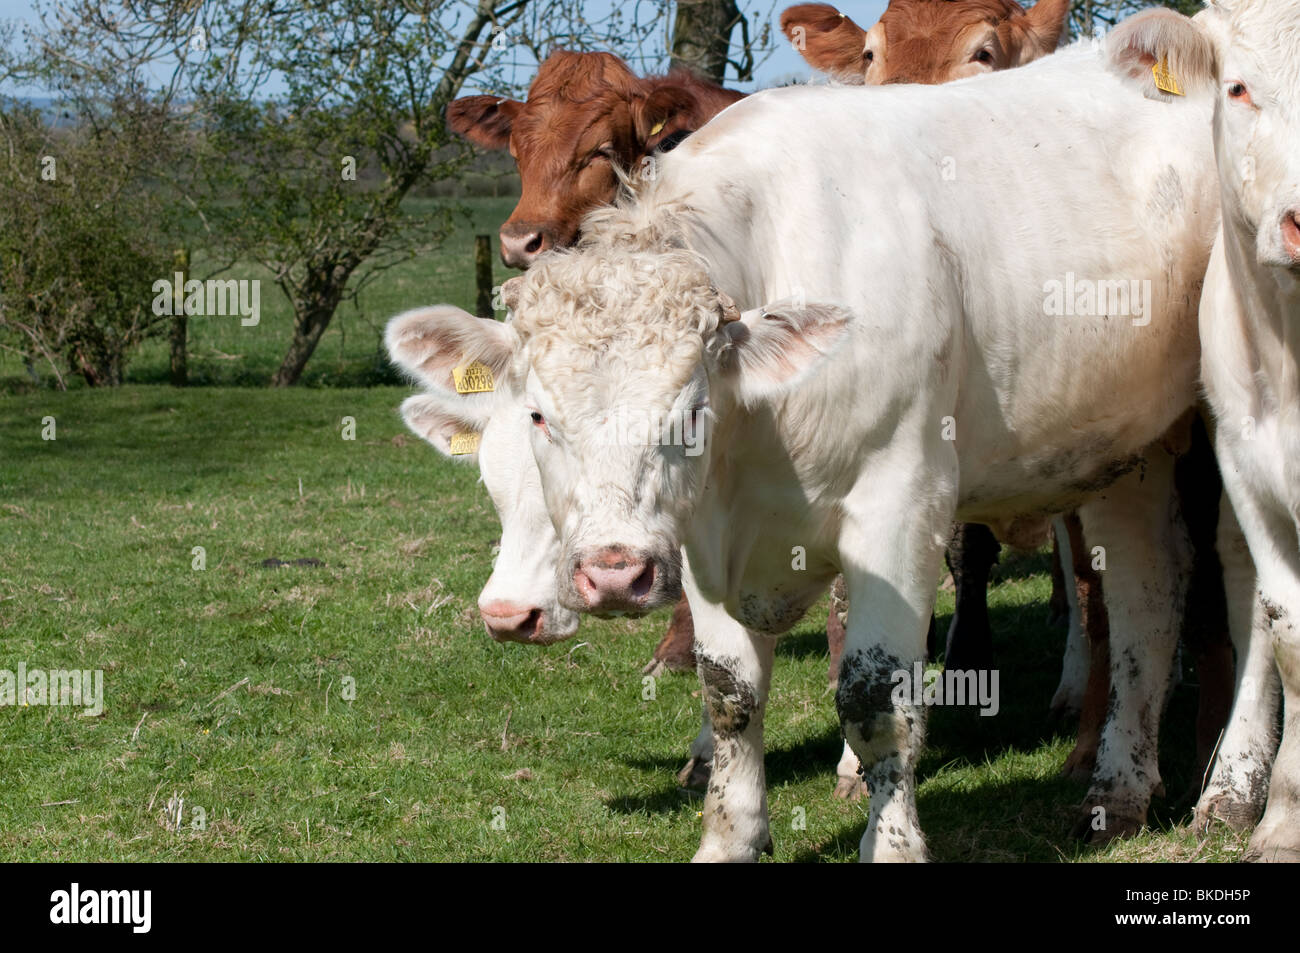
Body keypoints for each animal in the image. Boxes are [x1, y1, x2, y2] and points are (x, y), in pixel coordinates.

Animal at [431, 35, 1225, 861]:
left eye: (691, 408)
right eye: (539, 415)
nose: (614, 574)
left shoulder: (900, 503)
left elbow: (875, 699)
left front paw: (893, 841)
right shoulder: (704, 530)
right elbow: (731, 692)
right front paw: (730, 835)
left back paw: (1224, 788)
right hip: (1129, 443)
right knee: (1144, 587)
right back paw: (1119, 788)